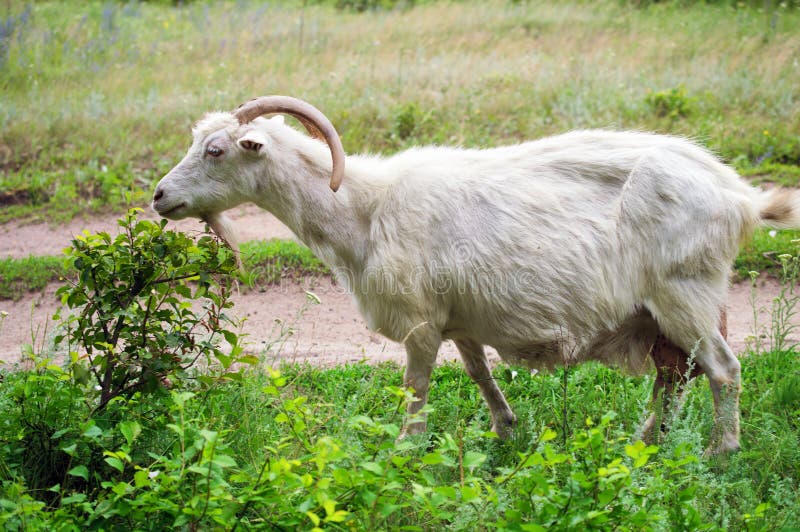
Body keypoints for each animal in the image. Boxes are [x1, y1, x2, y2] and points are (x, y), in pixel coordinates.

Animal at [153, 96, 800, 454]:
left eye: (215, 150)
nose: (159, 197)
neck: (364, 210)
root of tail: (739, 197)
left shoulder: (419, 323)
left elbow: (416, 387)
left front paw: (406, 450)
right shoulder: (457, 317)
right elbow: (478, 371)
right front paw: (505, 429)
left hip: (684, 292)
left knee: (723, 369)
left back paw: (721, 452)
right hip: (661, 308)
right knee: (675, 375)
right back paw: (642, 444)